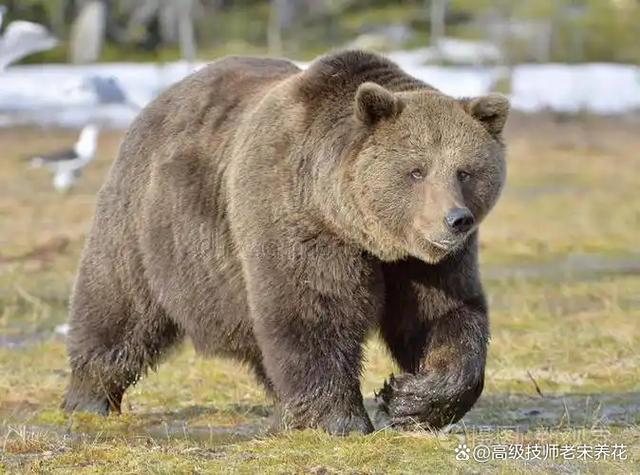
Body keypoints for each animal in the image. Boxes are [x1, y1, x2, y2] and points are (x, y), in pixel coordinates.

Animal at [62, 50, 509, 435]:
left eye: (465, 171)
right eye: (416, 171)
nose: (456, 220)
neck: (358, 228)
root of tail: (158, 101)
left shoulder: (424, 264)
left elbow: (444, 315)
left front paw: (408, 400)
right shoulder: (296, 218)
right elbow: (312, 312)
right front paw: (342, 421)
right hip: (147, 224)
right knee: (118, 307)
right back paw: (88, 397)